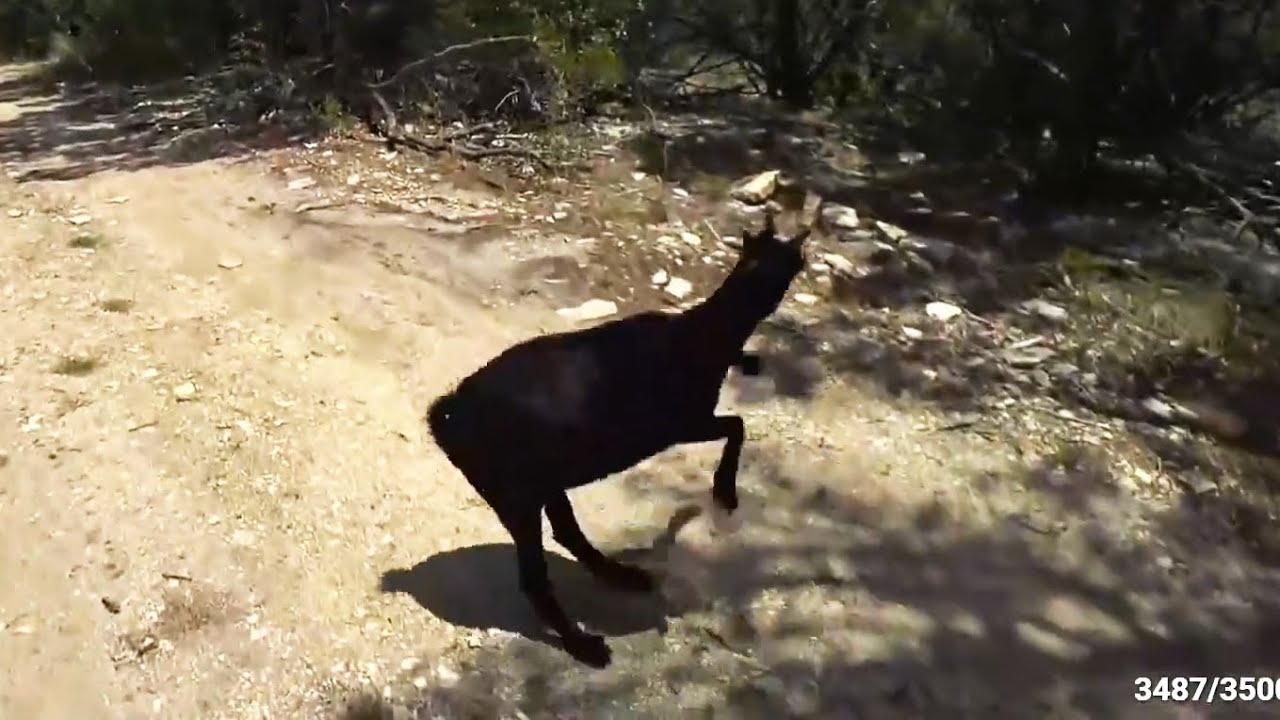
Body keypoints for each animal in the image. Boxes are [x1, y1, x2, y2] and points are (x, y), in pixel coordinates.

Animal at [426, 211, 812, 667]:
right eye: (795, 260)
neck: (701, 336)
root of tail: (448, 413)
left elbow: (736, 424)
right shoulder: (683, 422)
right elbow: (736, 425)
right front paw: (725, 494)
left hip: (542, 479)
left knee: (566, 531)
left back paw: (621, 575)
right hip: (513, 489)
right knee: (536, 574)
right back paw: (584, 644)